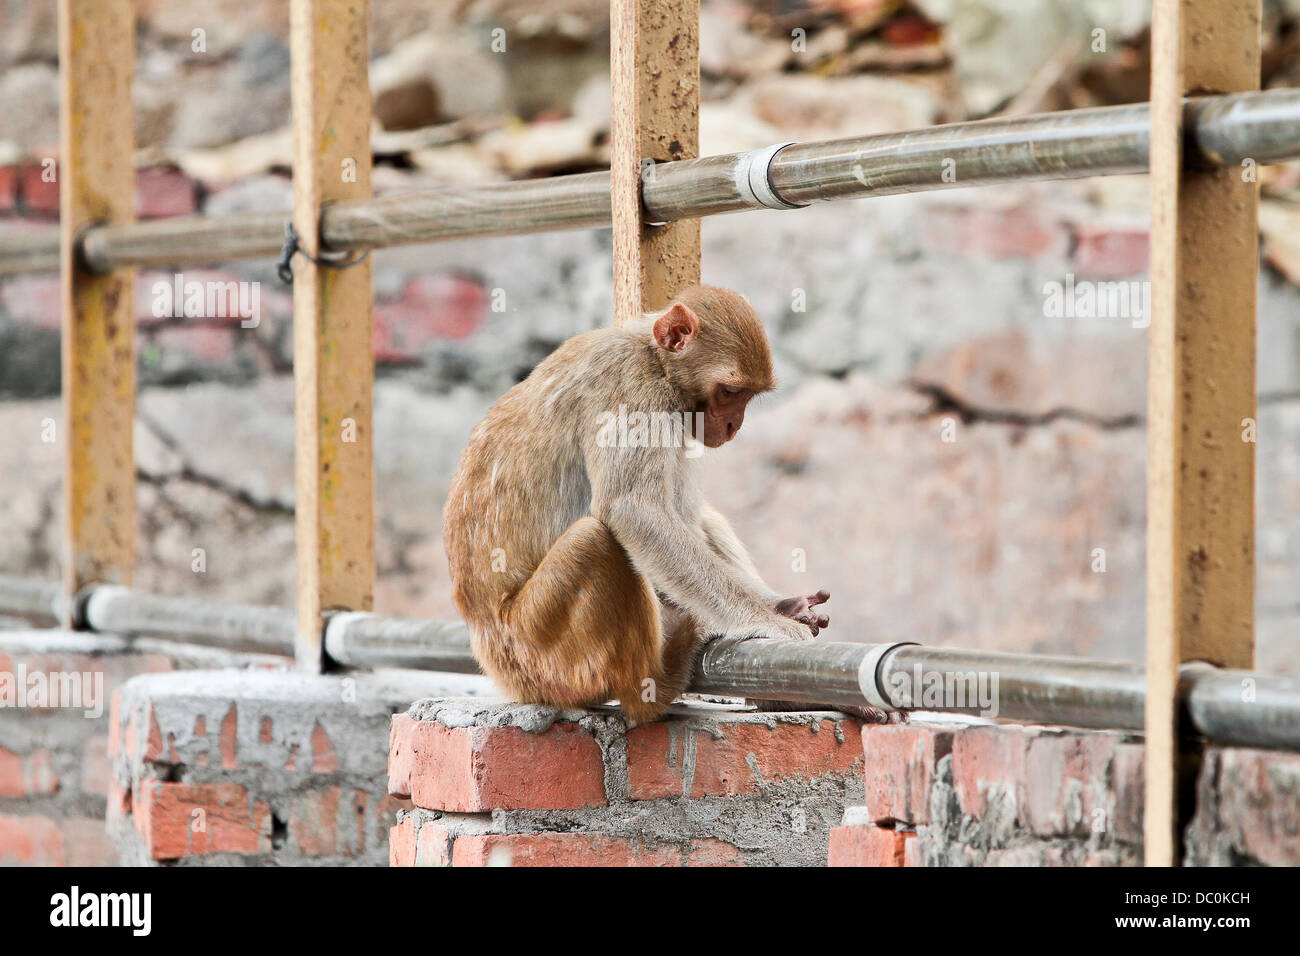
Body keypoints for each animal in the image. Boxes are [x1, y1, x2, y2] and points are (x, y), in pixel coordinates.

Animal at [443, 285, 839, 725]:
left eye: (747, 396)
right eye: (731, 391)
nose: (734, 426)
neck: (654, 358)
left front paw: (781, 606)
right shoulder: (633, 390)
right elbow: (634, 511)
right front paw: (766, 620)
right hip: (539, 651)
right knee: (594, 540)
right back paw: (651, 688)